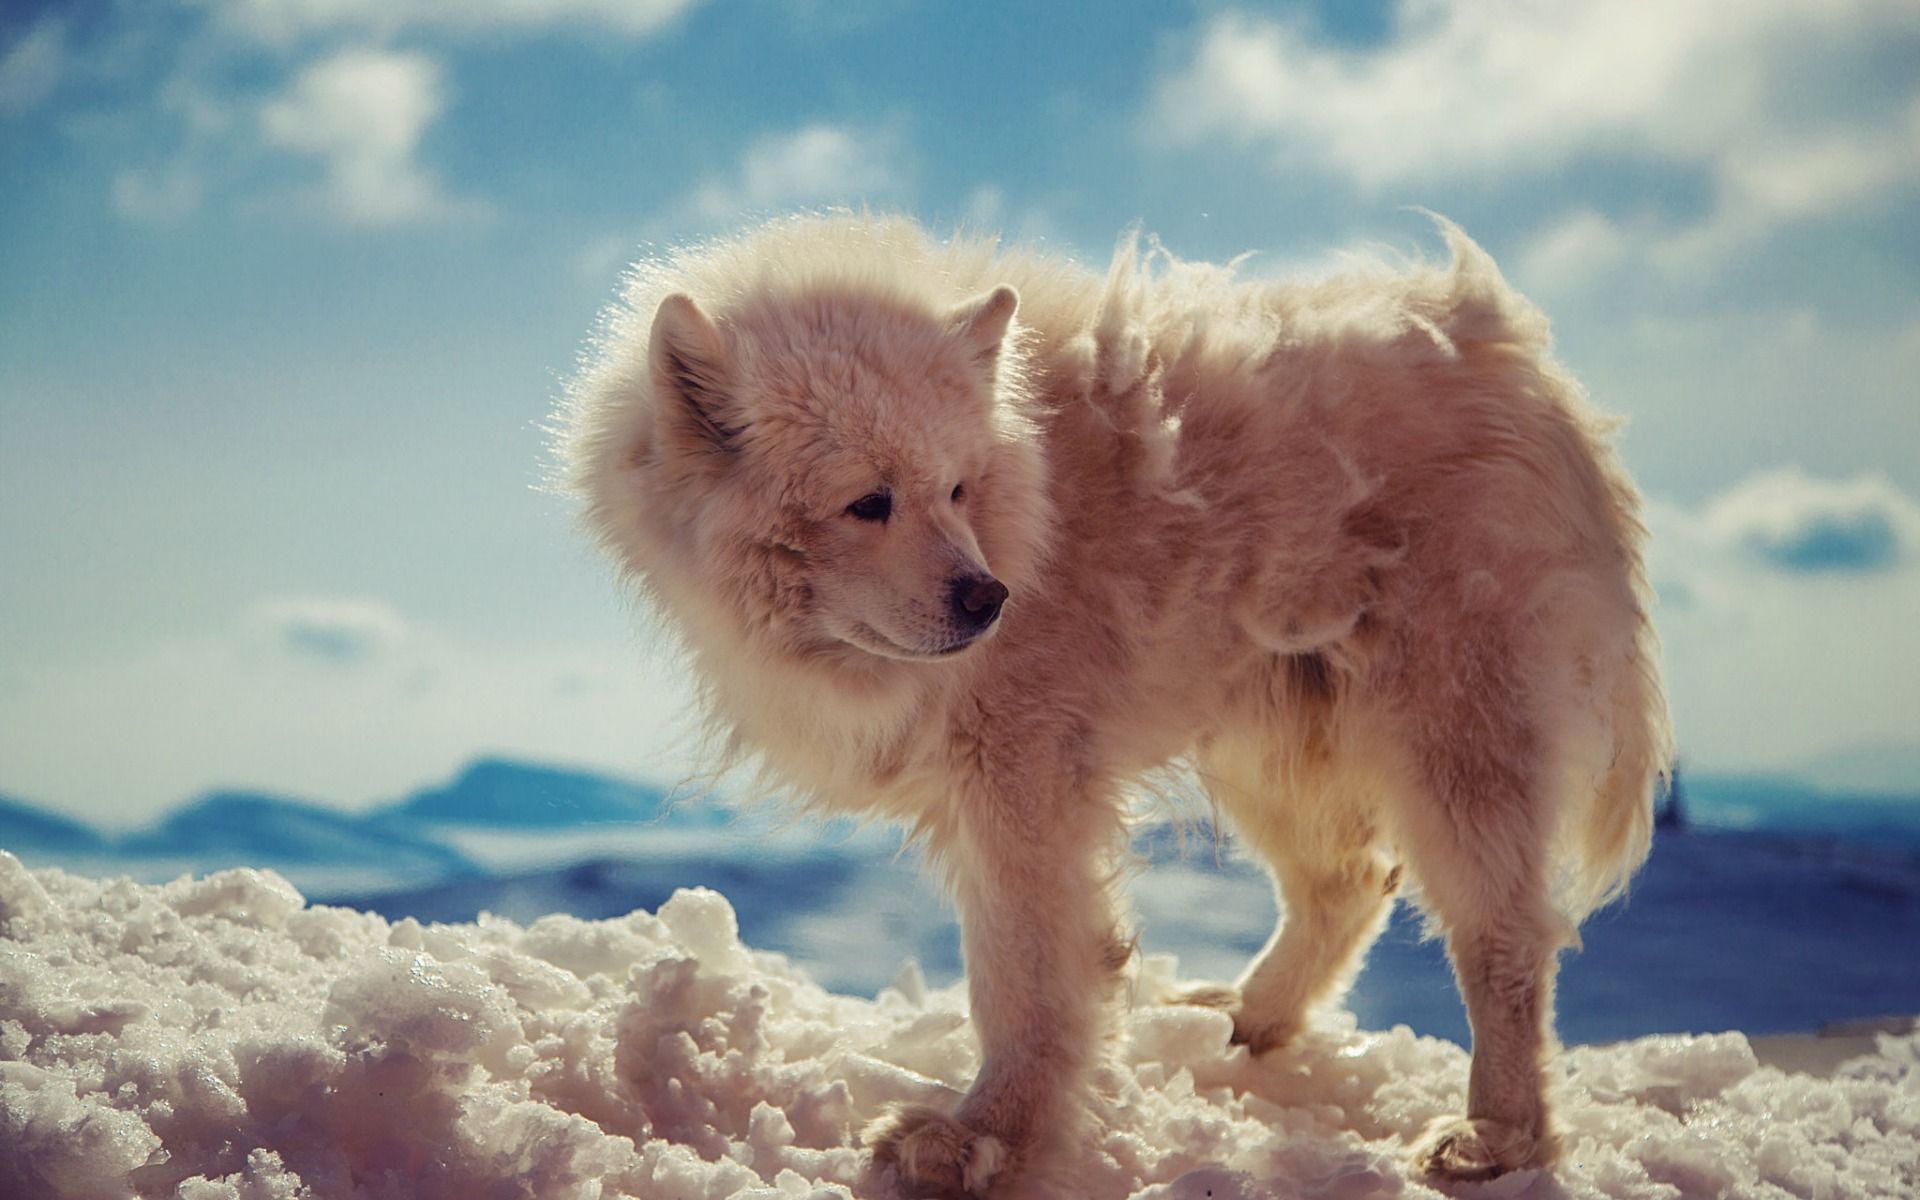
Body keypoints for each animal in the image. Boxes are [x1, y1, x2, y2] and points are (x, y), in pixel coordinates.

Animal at [558, 213, 1671, 1196]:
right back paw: (1245, 1021)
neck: (1035, 494)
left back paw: (1497, 1137)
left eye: (957, 488)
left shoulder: (1021, 775)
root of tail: (1520, 363)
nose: (989, 599)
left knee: (1503, 942)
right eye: (866, 501)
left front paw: (979, 1141)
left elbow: (1025, 978)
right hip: (1271, 735)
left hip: (1454, 733)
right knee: (1346, 883)